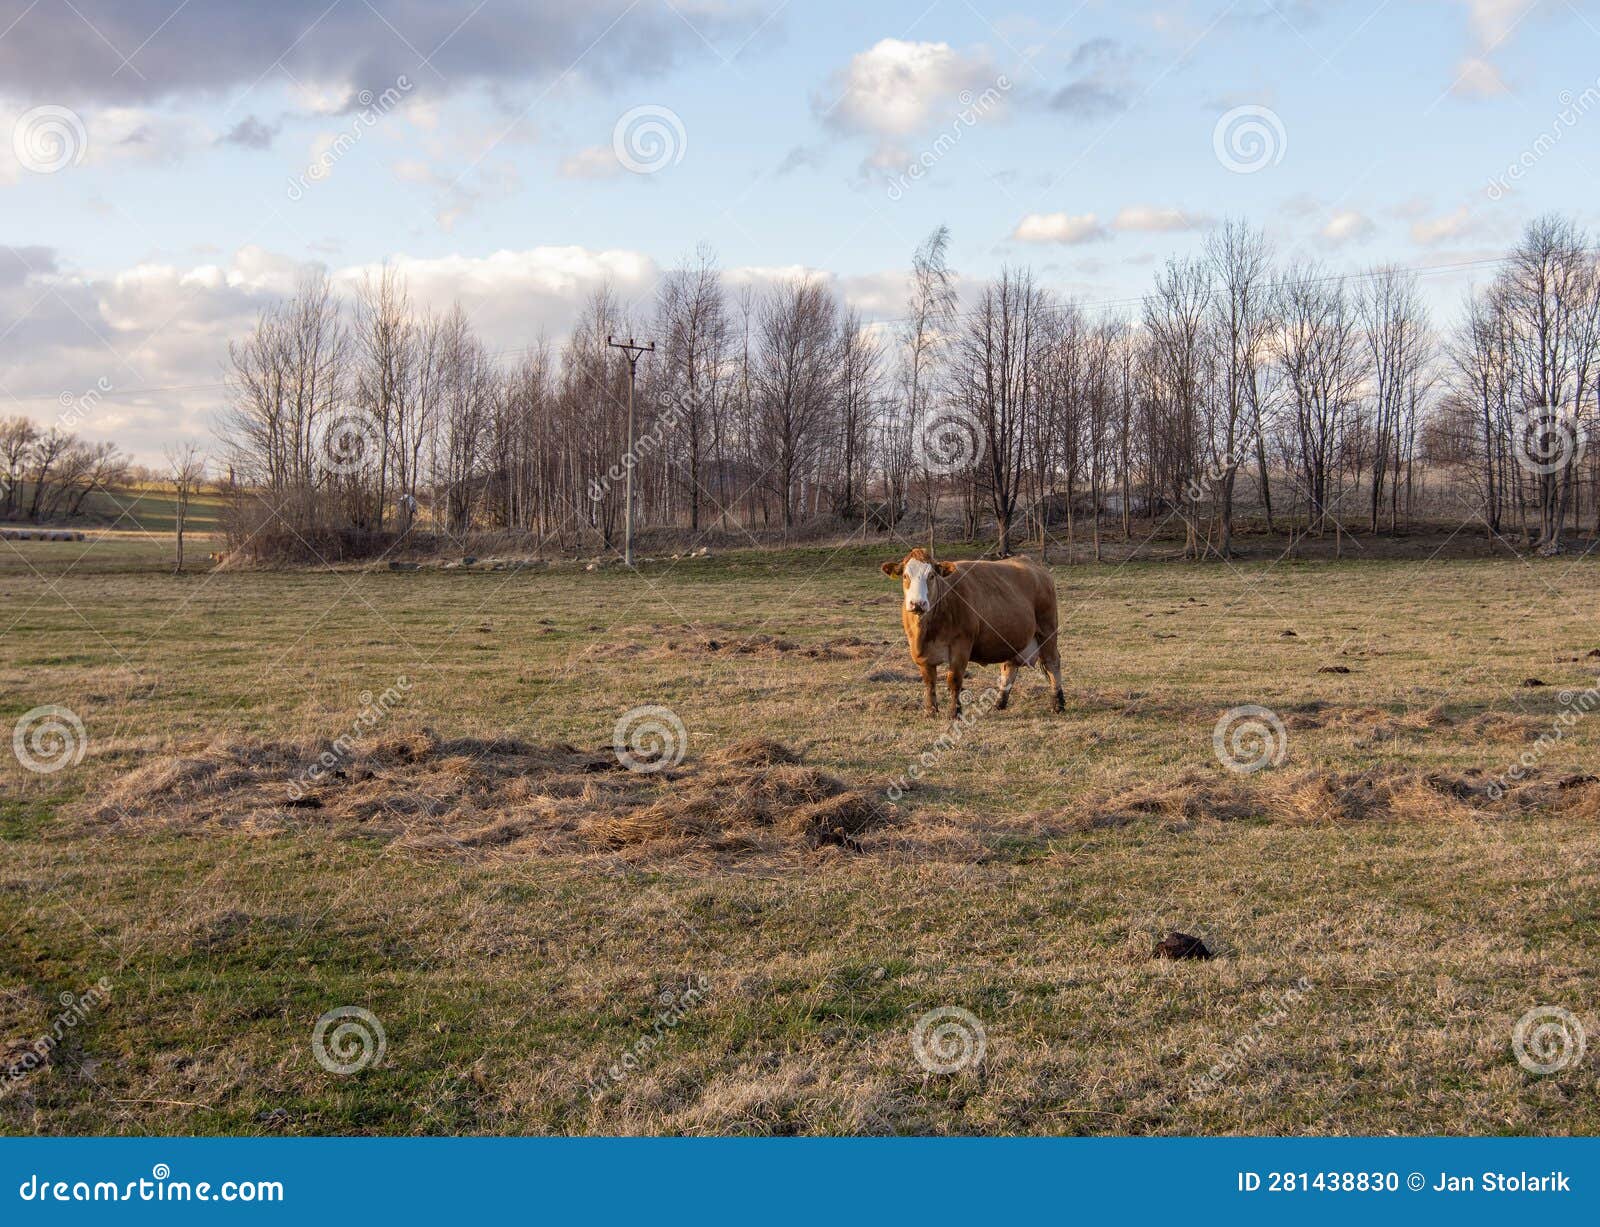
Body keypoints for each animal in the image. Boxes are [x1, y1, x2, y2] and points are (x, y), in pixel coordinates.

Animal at [879, 547, 1065, 721]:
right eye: (905, 576)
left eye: (931, 576)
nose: (918, 603)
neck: (927, 631)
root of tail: (1032, 565)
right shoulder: (921, 653)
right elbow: (929, 681)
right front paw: (930, 711)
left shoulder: (961, 645)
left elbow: (954, 679)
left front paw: (954, 713)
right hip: (1012, 637)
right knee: (1009, 667)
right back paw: (999, 703)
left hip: (1047, 629)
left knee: (1052, 663)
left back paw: (1058, 704)